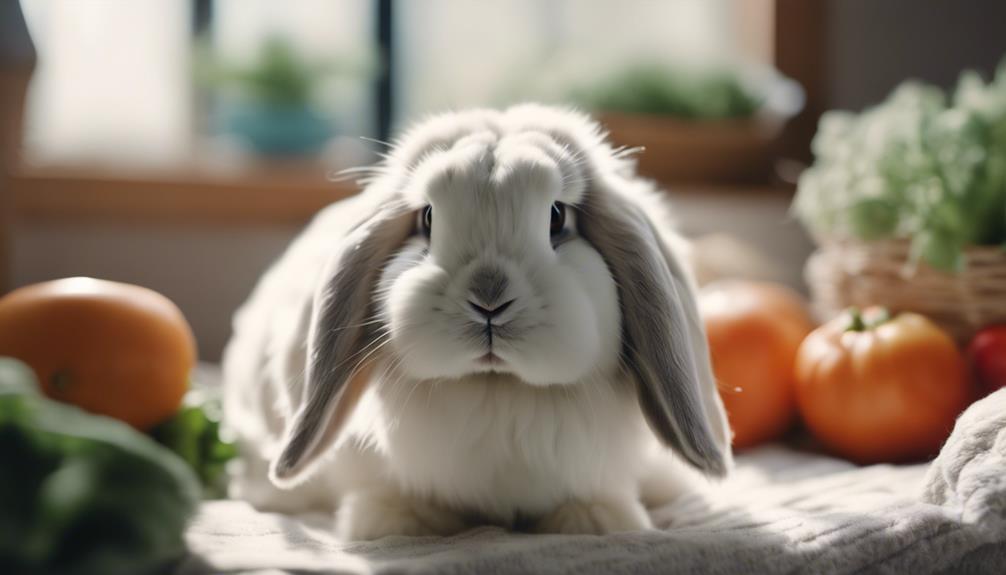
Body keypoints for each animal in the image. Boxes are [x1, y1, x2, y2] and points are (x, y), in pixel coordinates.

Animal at [221, 104, 733, 541]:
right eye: (427, 218)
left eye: (557, 217)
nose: (488, 299)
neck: (496, 390)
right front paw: (399, 521)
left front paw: (595, 521)